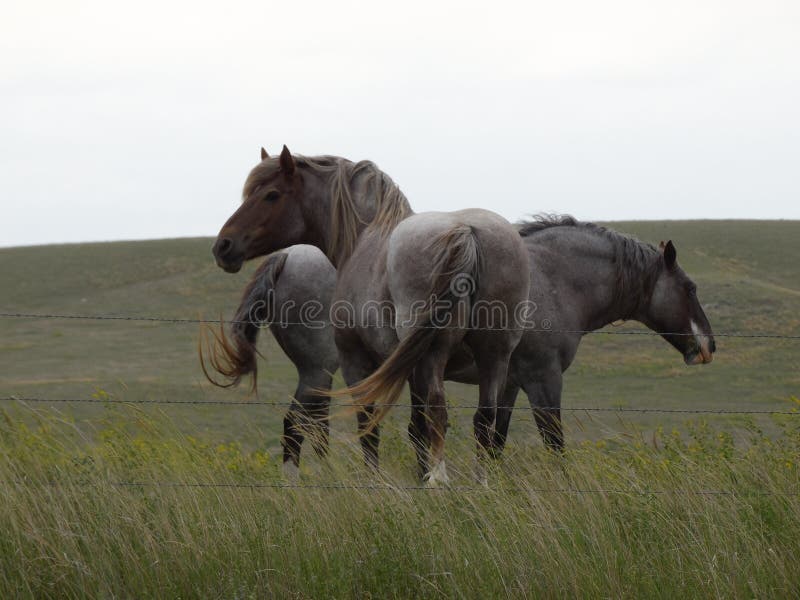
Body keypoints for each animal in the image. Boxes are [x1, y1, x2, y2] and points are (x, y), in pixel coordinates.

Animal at [211, 146, 530, 485]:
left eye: (271, 195)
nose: (223, 245)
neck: (365, 236)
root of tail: (465, 231)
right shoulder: (411, 368)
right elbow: (416, 429)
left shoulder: (357, 361)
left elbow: (370, 426)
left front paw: (377, 483)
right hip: (493, 355)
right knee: (483, 418)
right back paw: (480, 484)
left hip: (418, 357)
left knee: (434, 411)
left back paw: (437, 480)